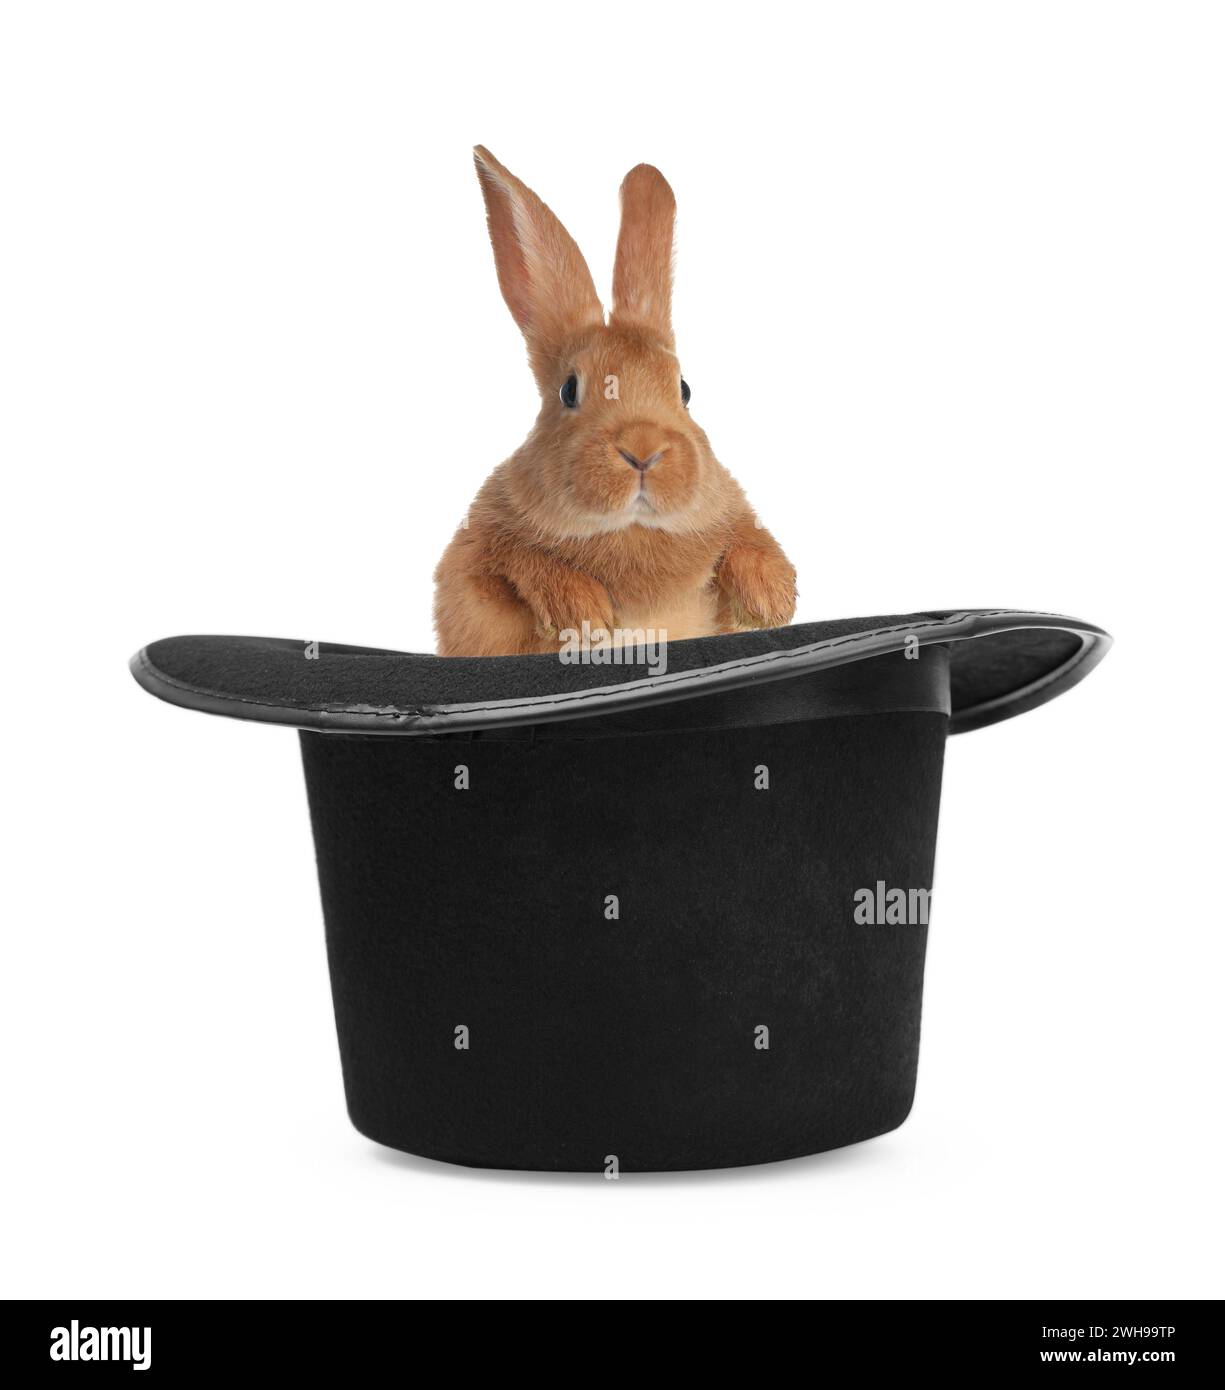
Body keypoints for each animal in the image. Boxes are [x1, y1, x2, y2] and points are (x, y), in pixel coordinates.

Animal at [434, 146, 797, 657]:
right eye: (568, 389)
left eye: (684, 388)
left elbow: (745, 536)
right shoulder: (474, 561)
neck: (630, 528)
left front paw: (771, 599)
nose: (643, 450)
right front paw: (583, 613)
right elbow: (517, 557)